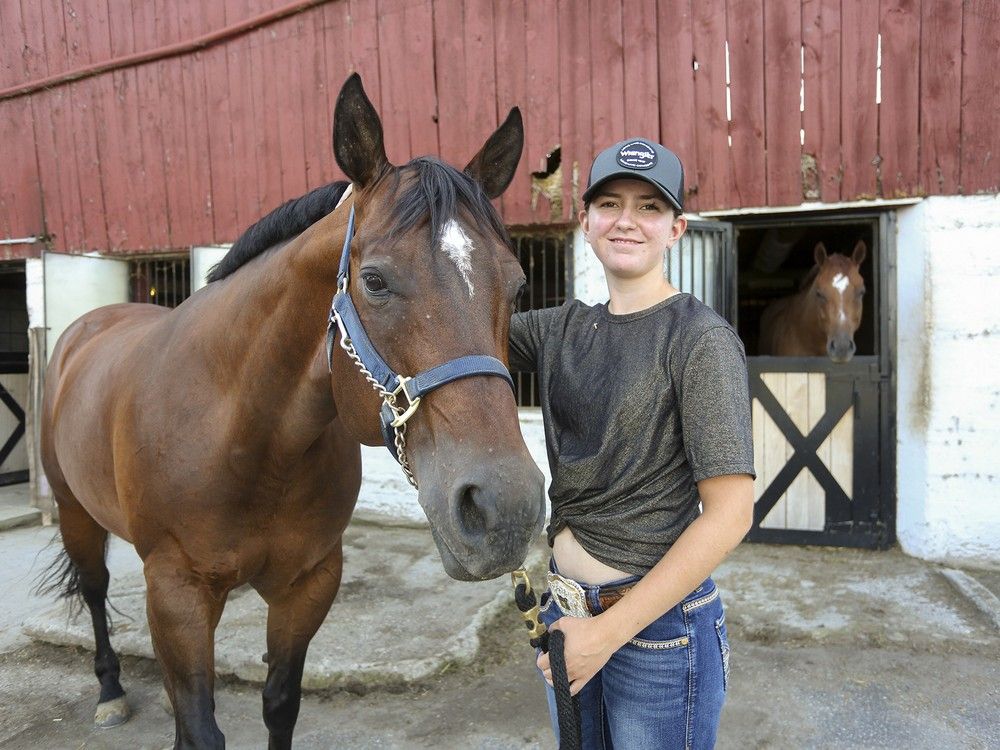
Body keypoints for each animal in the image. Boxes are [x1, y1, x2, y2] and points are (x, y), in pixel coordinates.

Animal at [38, 73, 545, 749]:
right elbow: (201, 726)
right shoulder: (176, 592)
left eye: (518, 287)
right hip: (76, 512)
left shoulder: (307, 584)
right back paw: (110, 691)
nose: (504, 511)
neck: (248, 438)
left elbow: (278, 704)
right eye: (375, 280)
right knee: (94, 592)